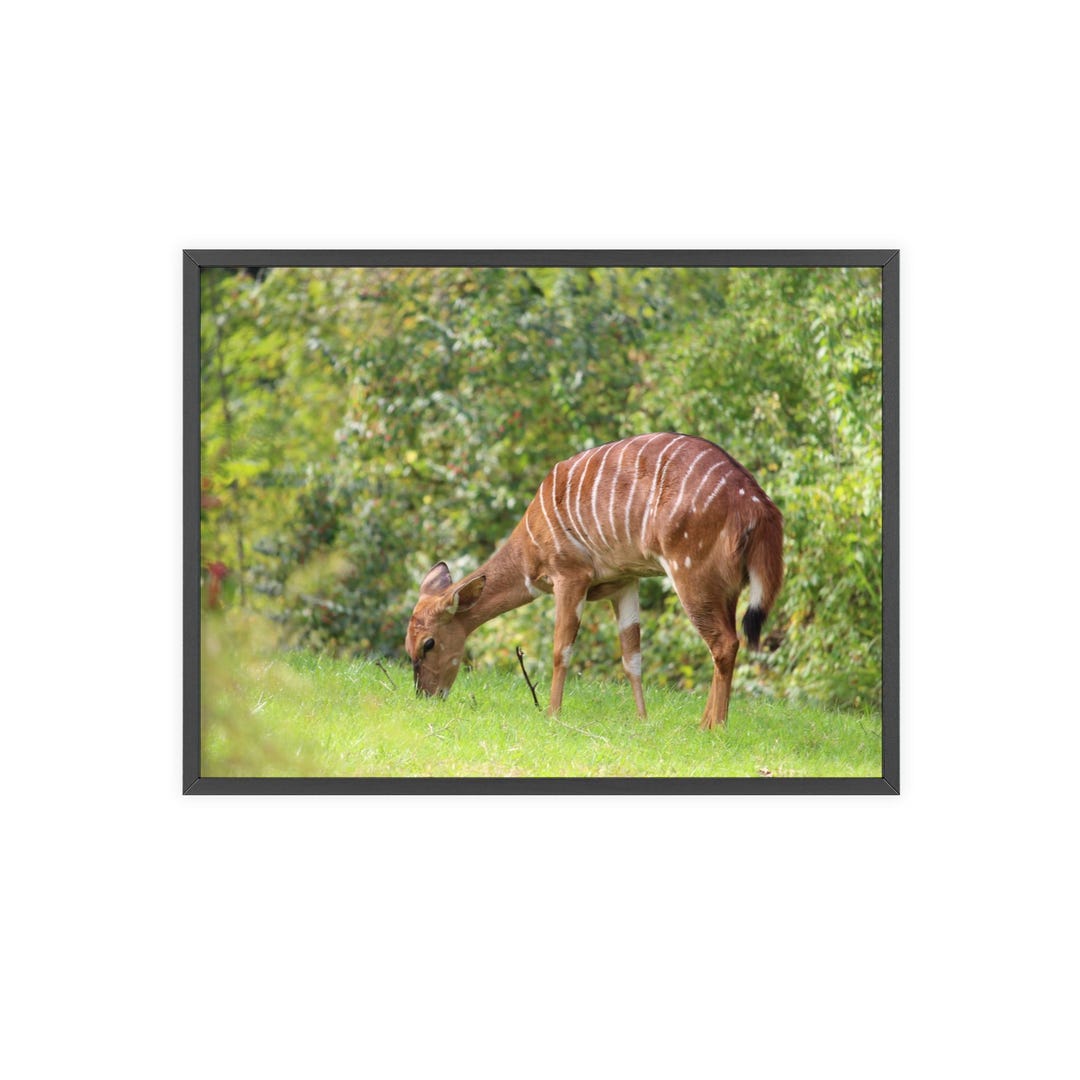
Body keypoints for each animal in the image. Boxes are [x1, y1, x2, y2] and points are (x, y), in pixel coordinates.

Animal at [406, 433, 783, 729]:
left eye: (428, 644)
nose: (426, 696)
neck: (530, 548)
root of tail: (760, 507)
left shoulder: (570, 575)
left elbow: (561, 650)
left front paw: (552, 714)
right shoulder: (626, 581)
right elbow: (632, 657)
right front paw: (642, 719)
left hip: (692, 573)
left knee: (725, 642)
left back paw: (712, 726)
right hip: (725, 586)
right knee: (727, 641)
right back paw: (706, 721)